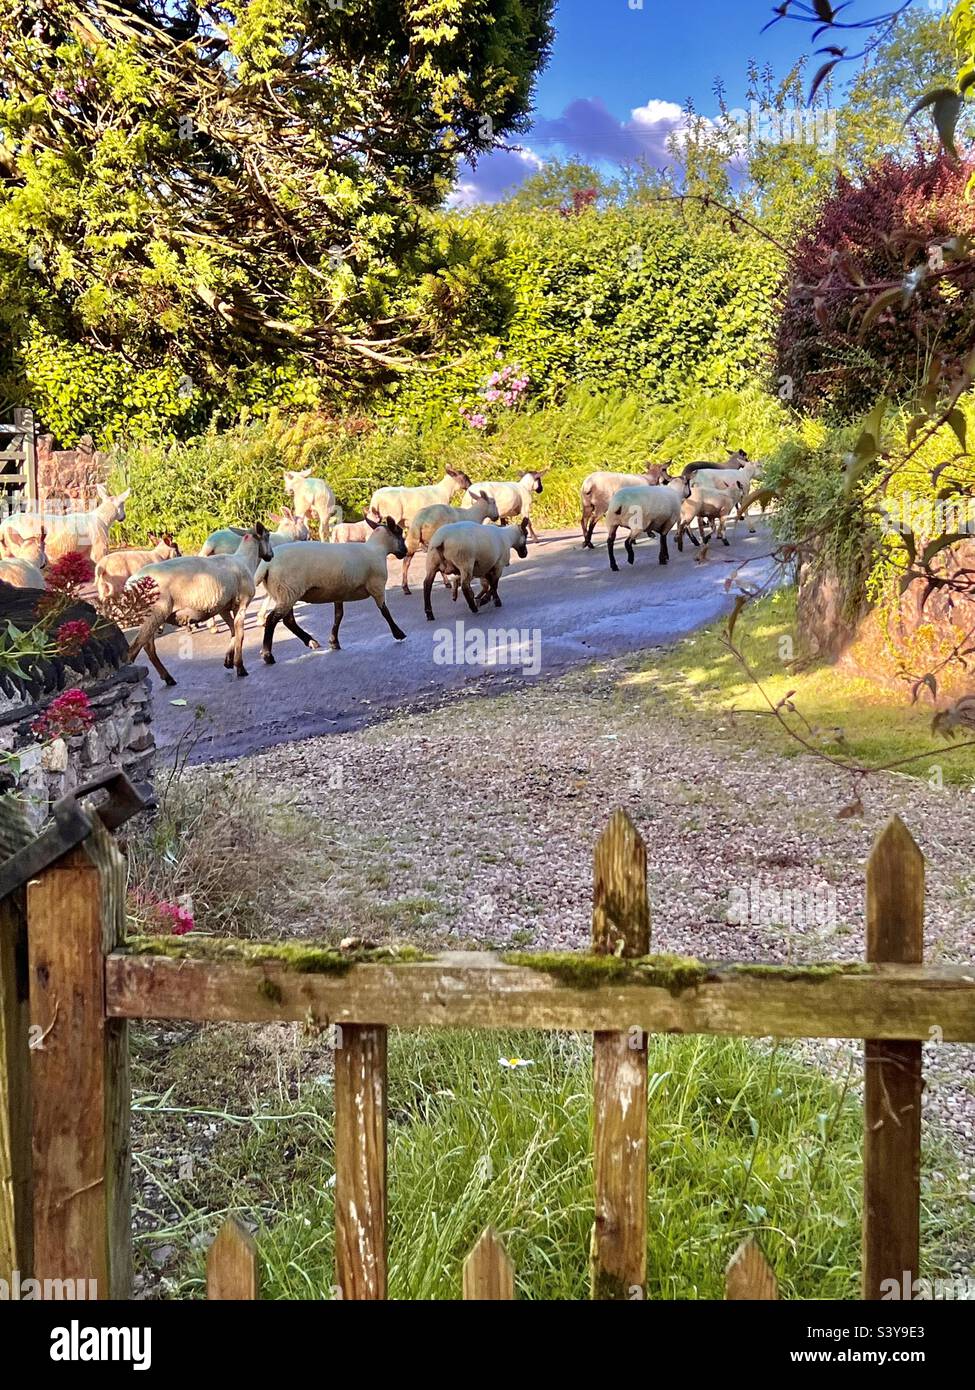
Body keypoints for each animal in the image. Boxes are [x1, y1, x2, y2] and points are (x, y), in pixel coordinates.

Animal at [127, 524, 273, 686]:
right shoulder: (241, 603)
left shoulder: (223, 607)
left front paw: (228, 661)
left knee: (148, 646)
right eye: (267, 535)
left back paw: (168, 678)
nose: (271, 556)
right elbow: (240, 634)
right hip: (157, 611)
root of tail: (131, 583)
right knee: (137, 646)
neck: (245, 560)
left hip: (148, 615)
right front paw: (240, 667)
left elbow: (233, 631)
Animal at [258, 517, 408, 664]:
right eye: (400, 533)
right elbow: (385, 611)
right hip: (288, 591)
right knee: (272, 619)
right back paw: (267, 655)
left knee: (288, 621)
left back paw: (311, 641)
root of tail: (267, 564)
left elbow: (338, 616)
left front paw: (334, 642)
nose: (405, 552)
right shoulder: (377, 587)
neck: (377, 549)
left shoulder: (339, 592)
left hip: (285, 592)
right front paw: (399, 634)